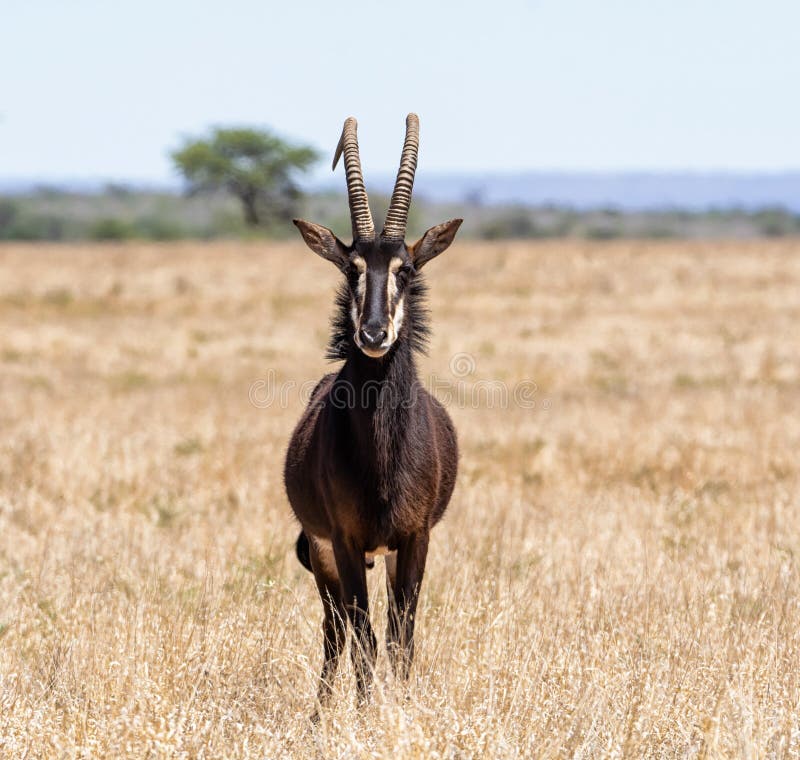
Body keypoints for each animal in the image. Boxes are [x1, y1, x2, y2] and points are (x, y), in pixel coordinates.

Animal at [284, 114, 462, 707]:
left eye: (405, 269)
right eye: (351, 269)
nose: (374, 334)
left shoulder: (414, 538)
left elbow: (402, 636)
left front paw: (401, 710)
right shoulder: (344, 541)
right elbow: (364, 638)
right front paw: (363, 714)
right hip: (324, 554)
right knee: (336, 630)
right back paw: (319, 714)